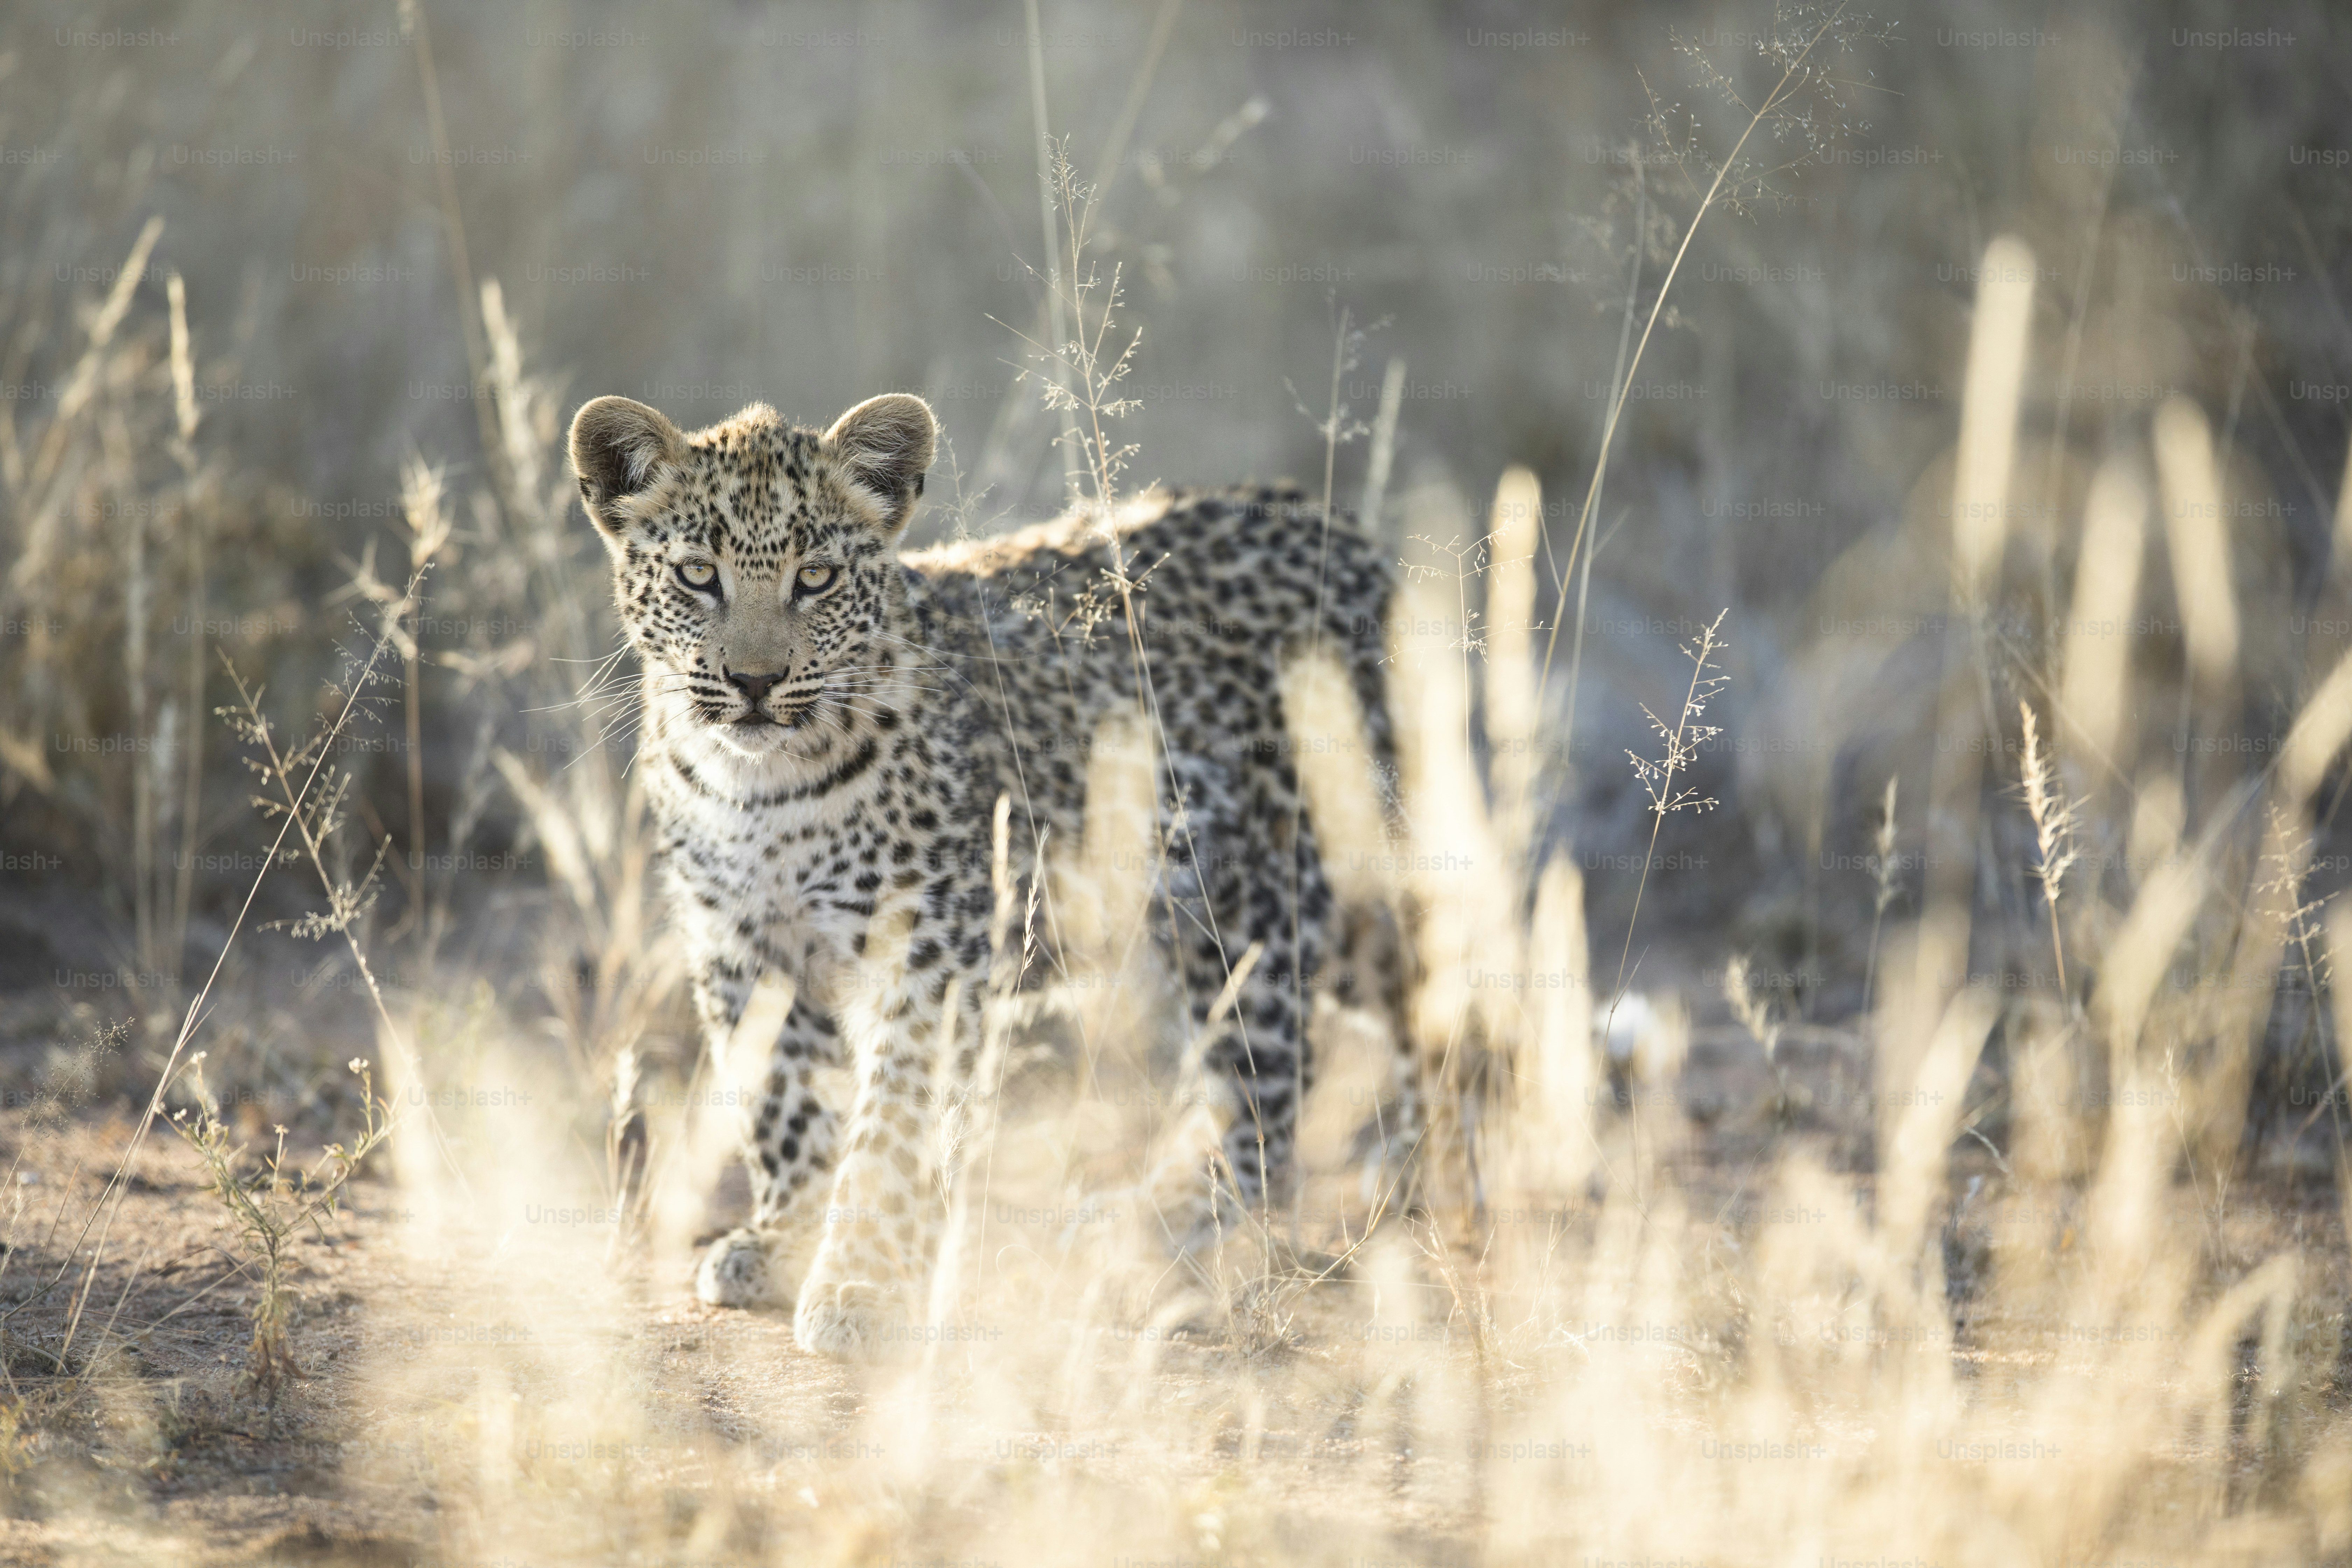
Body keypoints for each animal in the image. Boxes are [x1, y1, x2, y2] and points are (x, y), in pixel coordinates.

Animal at [567, 389, 1403, 1360]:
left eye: (816, 578)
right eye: (699, 575)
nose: (755, 681)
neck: (763, 788)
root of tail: (1340, 531)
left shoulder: (928, 950)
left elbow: (891, 1121)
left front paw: (857, 1277)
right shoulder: (737, 944)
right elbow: (782, 1104)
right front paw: (784, 1239)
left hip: (1255, 893)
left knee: (1276, 1094)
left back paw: (1148, 1225)